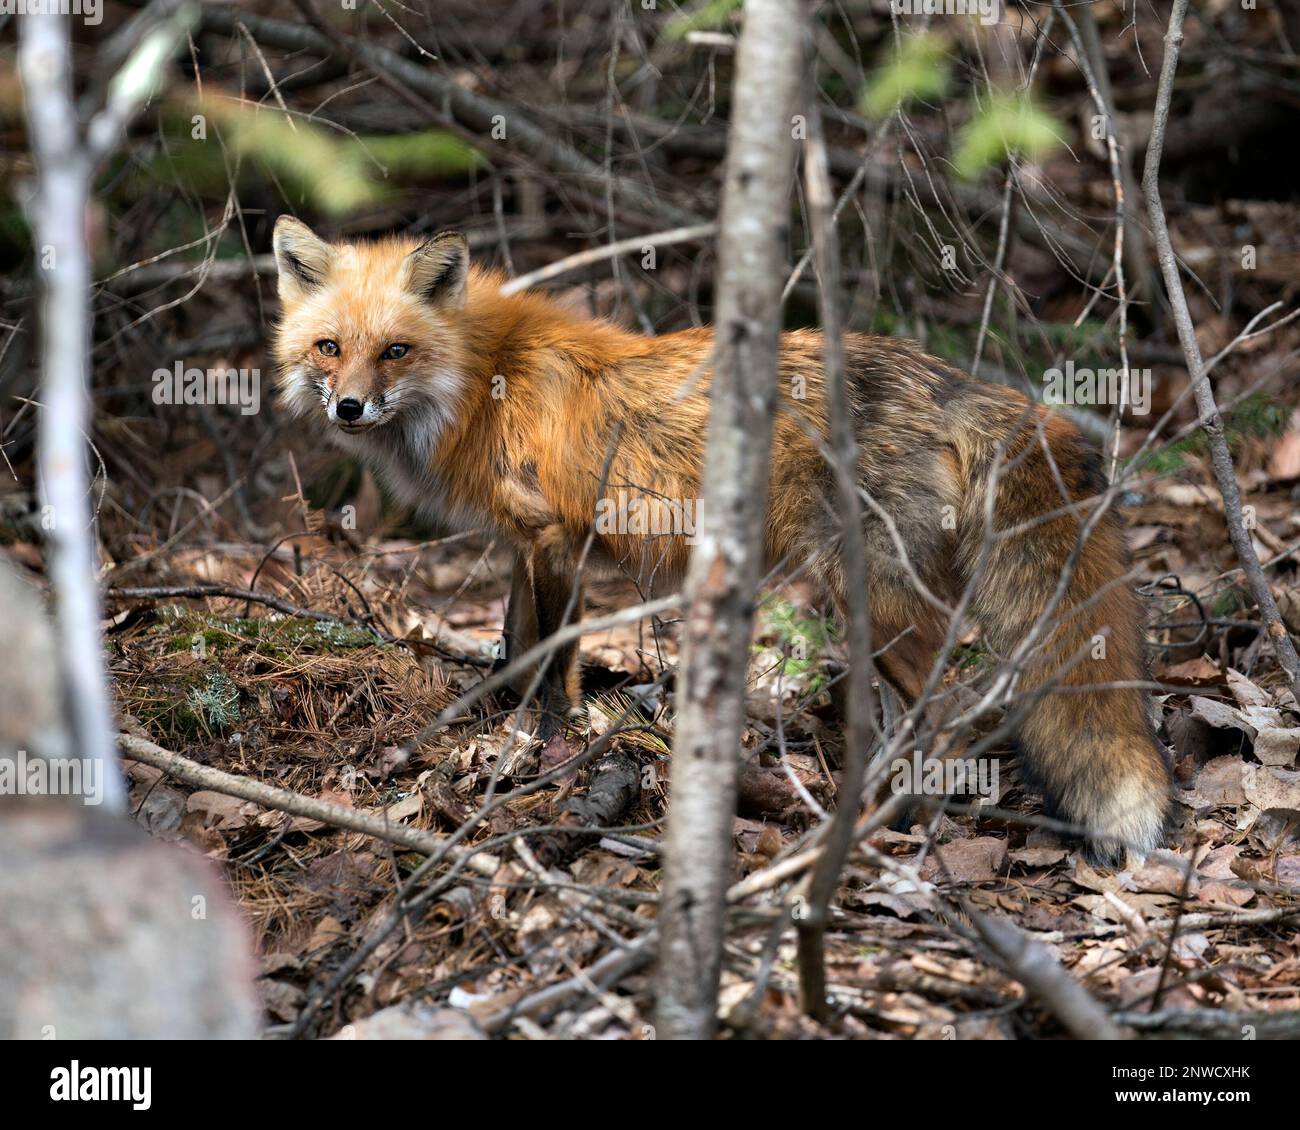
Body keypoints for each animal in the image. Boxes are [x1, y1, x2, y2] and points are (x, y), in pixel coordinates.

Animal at [270, 216, 1171, 865]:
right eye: (330, 348)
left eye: (396, 351)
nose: (348, 407)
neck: (485, 374)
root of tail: (950, 377)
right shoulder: (523, 545)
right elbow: (514, 646)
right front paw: (502, 728)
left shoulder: (556, 540)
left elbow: (552, 665)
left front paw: (545, 754)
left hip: (870, 595)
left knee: (945, 716)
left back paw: (892, 823)